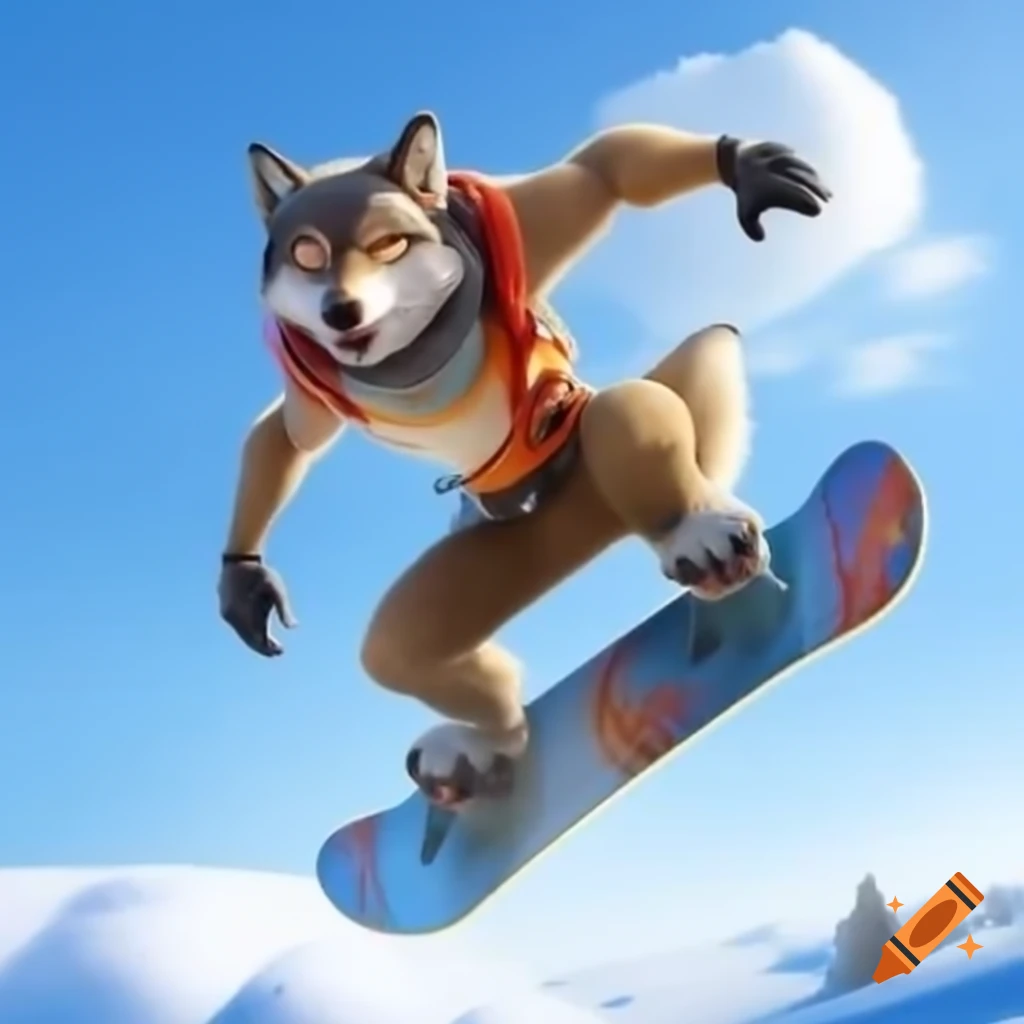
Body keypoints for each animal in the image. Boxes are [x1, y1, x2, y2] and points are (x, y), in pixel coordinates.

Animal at [218, 111, 831, 809]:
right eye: (308, 255)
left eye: (389, 246)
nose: (340, 311)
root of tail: (593, 528)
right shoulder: (309, 390)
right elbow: (288, 439)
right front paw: (245, 588)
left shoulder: (518, 229)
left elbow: (602, 169)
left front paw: (748, 167)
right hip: (517, 544)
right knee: (400, 647)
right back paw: (484, 751)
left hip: (597, 467)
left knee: (631, 405)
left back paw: (698, 539)